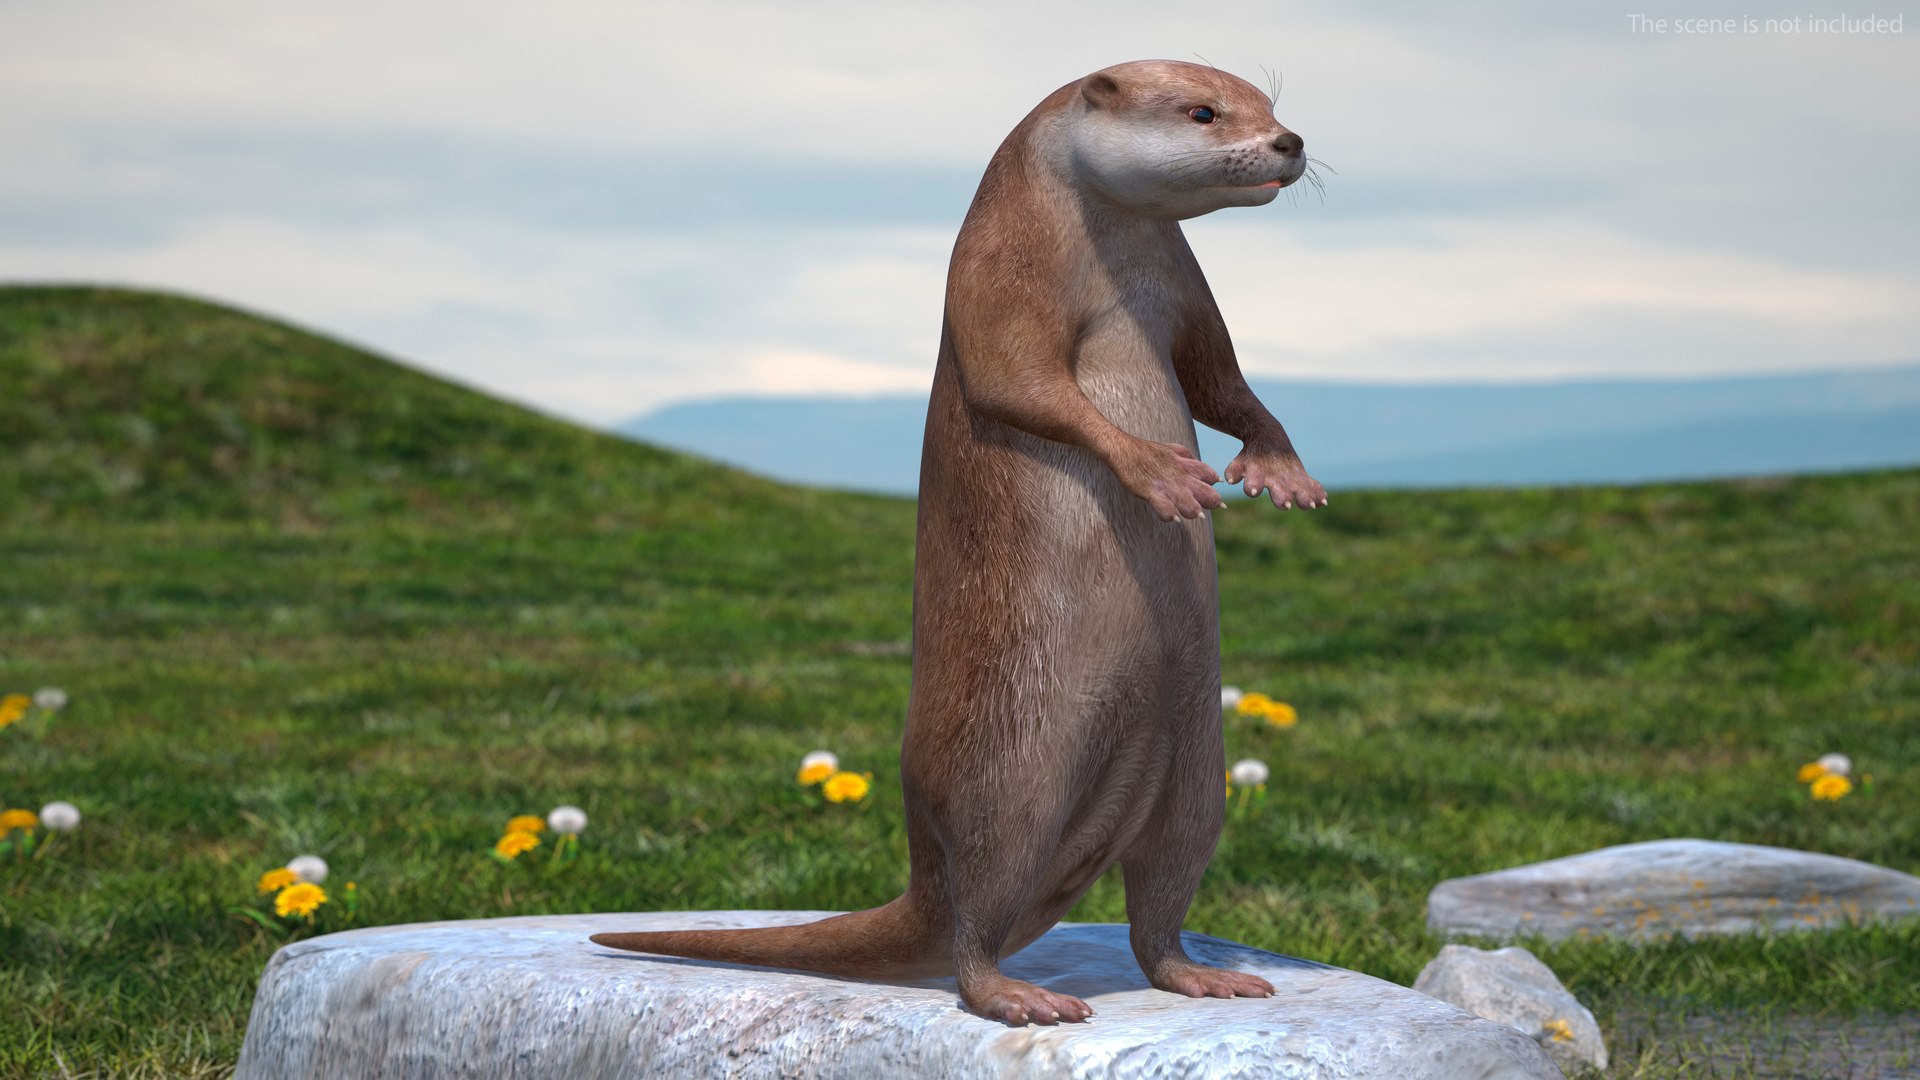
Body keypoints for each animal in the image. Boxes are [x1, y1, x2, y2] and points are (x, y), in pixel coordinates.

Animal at [593, 59, 1326, 1027]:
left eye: (1269, 102)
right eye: (1205, 112)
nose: (1290, 141)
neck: (1108, 261)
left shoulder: (1184, 291)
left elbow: (1224, 381)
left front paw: (1281, 469)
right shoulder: (995, 275)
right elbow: (1019, 384)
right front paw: (1158, 472)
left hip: (1197, 773)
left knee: (1160, 897)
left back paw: (1199, 973)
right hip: (1009, 774)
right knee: (980, 908)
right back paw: (1017, 996)